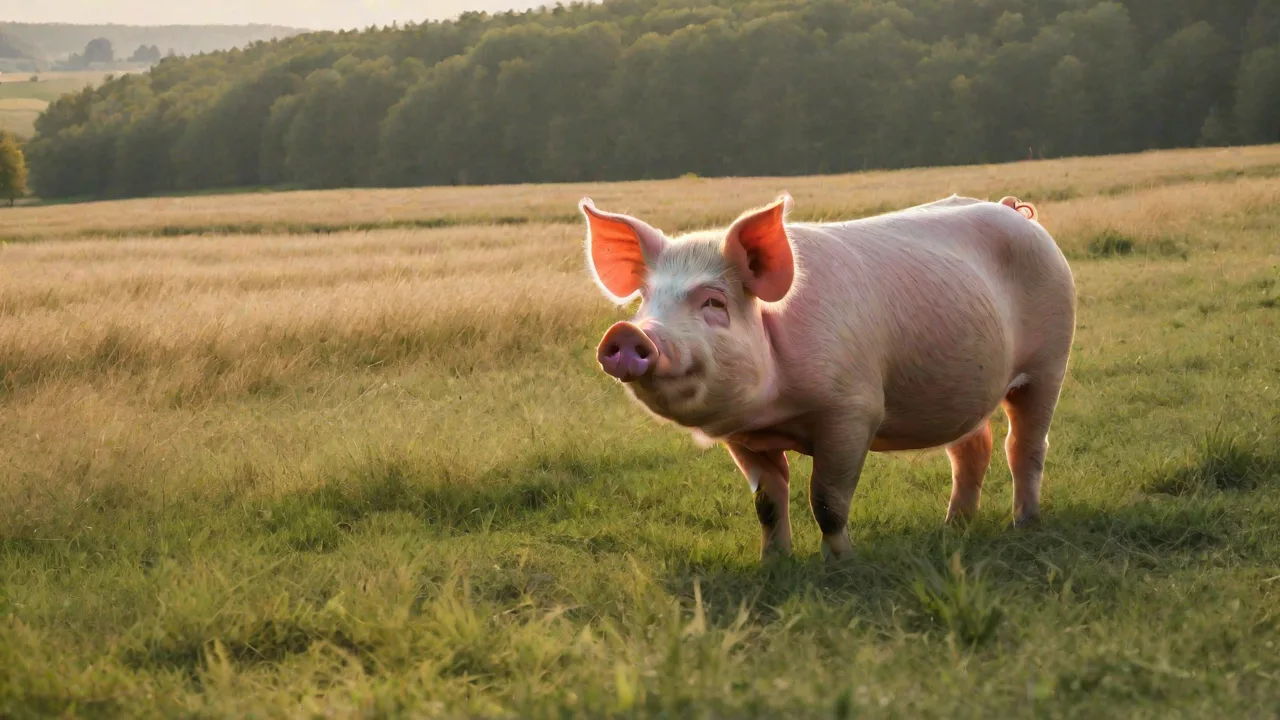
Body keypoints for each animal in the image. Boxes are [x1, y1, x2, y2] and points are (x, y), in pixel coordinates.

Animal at [581, 192, 1075, 562]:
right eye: (646, 300)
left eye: (714, 302)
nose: (628, 332)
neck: (776, 412)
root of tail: (1015, 210)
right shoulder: (743, 436)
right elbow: (766, 502)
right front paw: (773, 563)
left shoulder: (852, 410)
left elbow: (826, 499)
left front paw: (840, 563)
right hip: (962, 387)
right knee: (972, 448)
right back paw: (953, 528)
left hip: (1050, 360)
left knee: (1026, 445)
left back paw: (1023, 523)